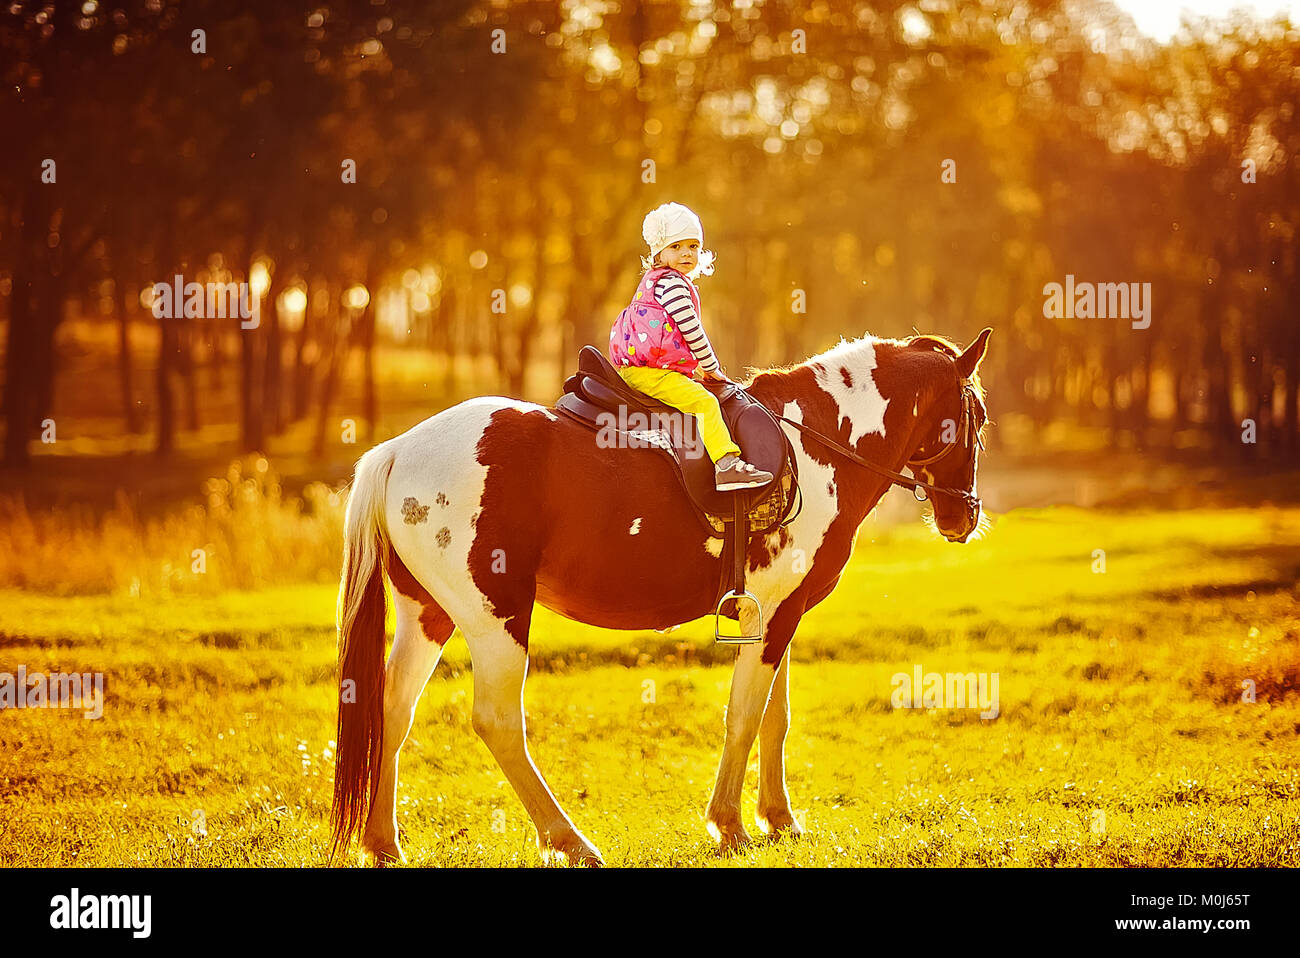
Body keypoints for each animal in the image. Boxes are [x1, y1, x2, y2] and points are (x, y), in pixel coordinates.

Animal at [330, 327, 992, 865]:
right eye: (976, 416)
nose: (964, 516)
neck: (819, 444)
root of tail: (399, 450)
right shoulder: (776, 613)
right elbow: (744, 716)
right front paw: (730, 826)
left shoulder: (779, 613)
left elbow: (773, 718)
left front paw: (779, 819)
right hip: (498, 621)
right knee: (496, 722)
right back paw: (570, 840)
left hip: (429, 616)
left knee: (392, 711)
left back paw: (383, 842)